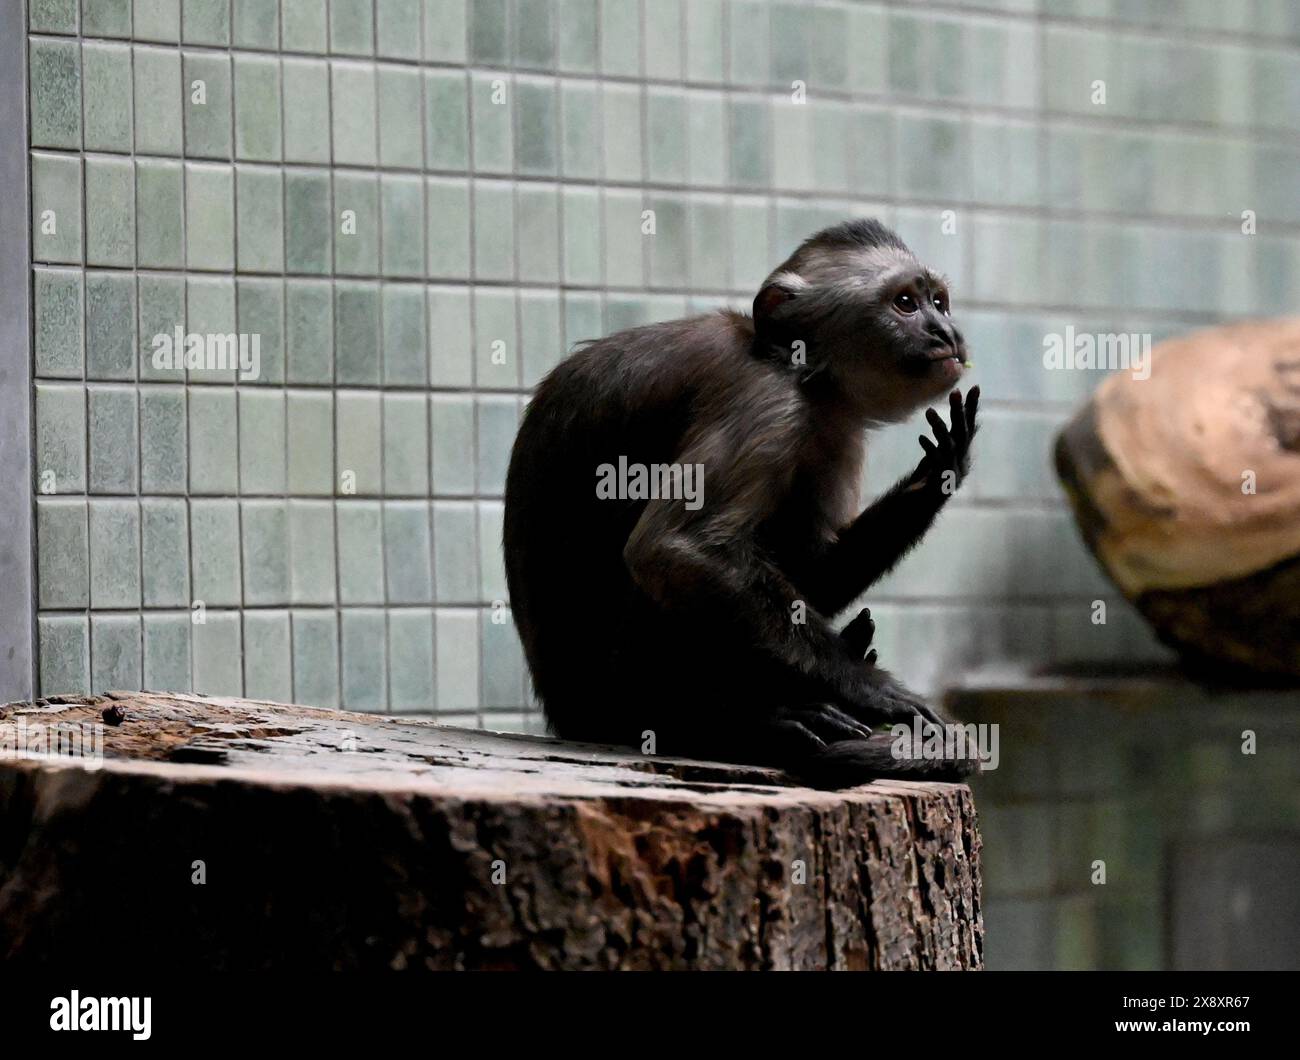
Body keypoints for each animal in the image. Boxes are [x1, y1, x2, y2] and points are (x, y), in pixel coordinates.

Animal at [503, 219, 979, 788]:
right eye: (906, 303)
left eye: (939, 302)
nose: (946, 331)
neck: (800, 373)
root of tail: (566, 713)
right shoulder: (764, 398)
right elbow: (675, 549)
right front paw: (869, 686)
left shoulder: (833, 424)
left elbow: (812, 569)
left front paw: (938, 474)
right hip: (617, 692)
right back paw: (736, 722)